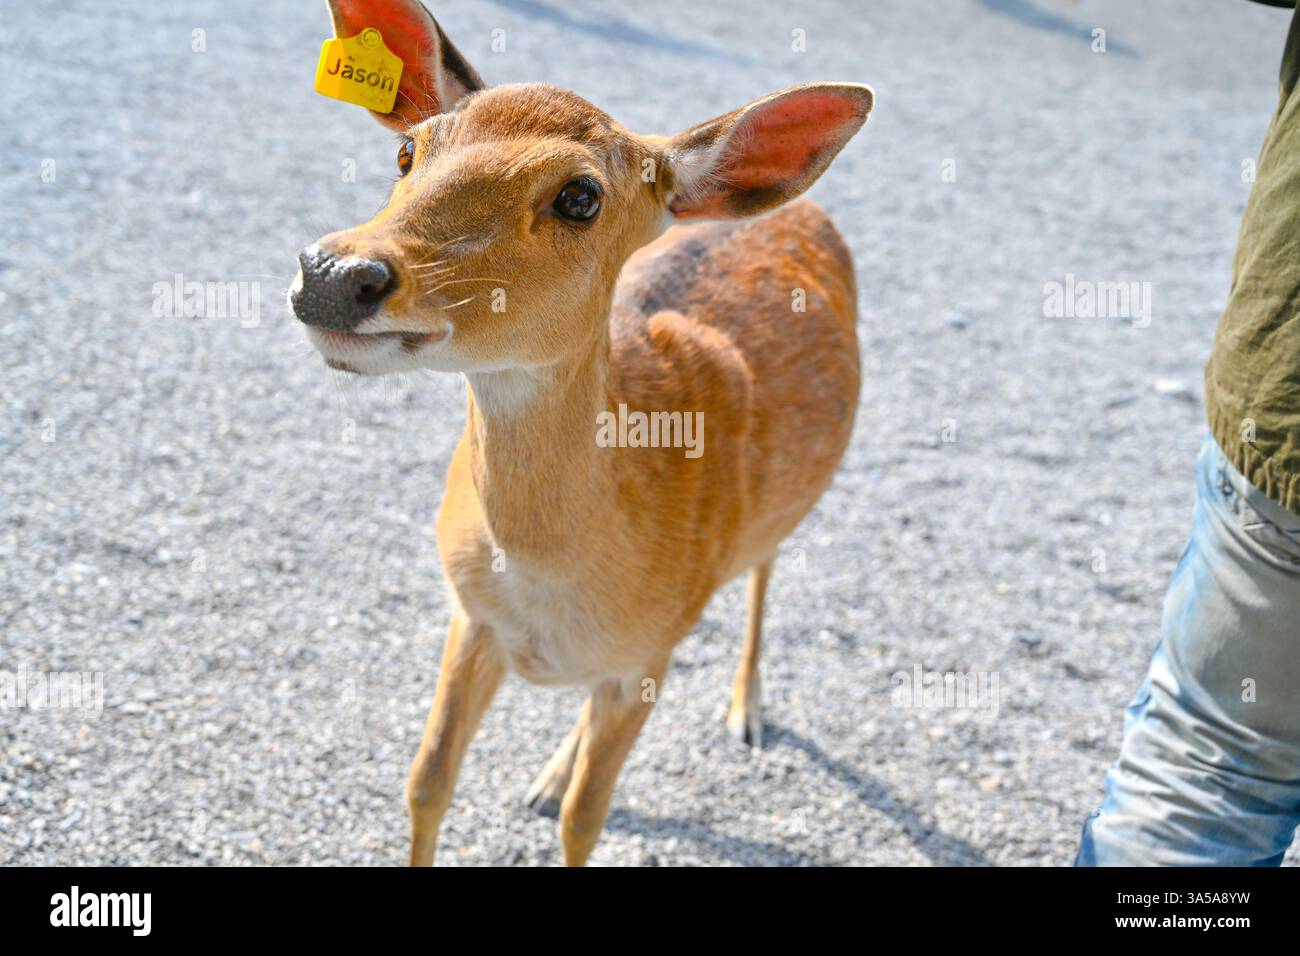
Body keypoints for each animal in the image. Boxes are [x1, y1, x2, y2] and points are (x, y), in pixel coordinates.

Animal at [290, 0, 873, 866]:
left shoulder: (647, 655)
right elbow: (426, 781)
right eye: (407, 150)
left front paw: (572, 796)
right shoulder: (471, 615)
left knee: (763, 568)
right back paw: (547, 774)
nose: (334, 275)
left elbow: (586, 820)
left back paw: (747, 710)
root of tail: (802, 206)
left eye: (579, 196)